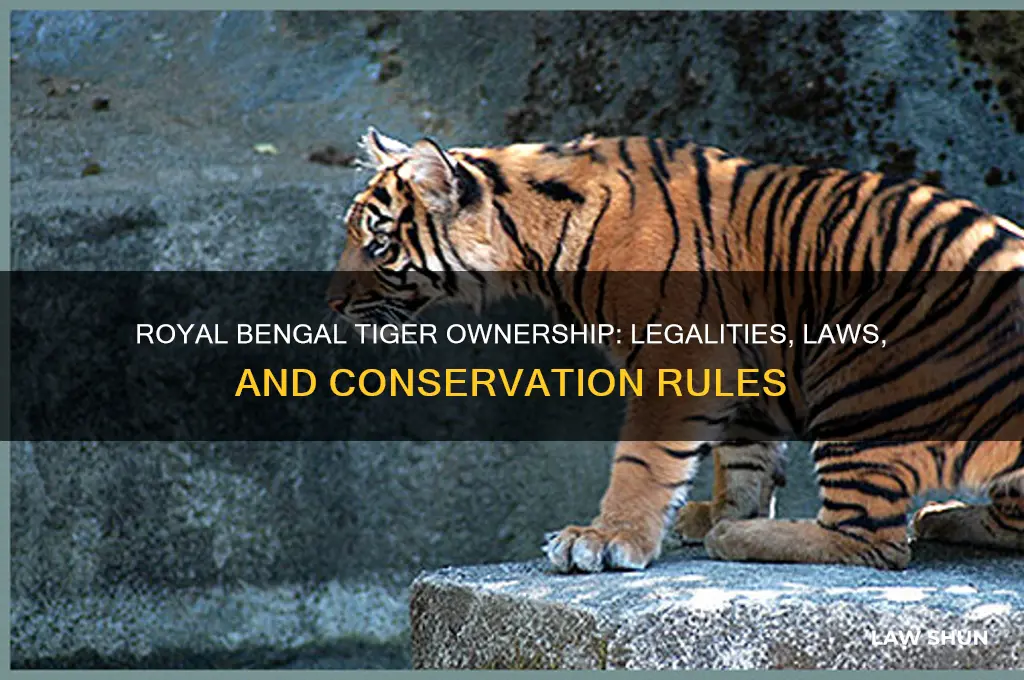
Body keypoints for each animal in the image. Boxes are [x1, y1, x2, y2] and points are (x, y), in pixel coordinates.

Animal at [327, 126, 1024, 571]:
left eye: (379, 243)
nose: (330, 303)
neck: (531, 238)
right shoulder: (745, 354)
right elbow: (742, 455)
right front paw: (718, 511)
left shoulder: (680, 355)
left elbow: (643, 460)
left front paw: (607, 538)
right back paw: (944, 515)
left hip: (862, 371)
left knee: (873, 538)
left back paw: (747, 538)